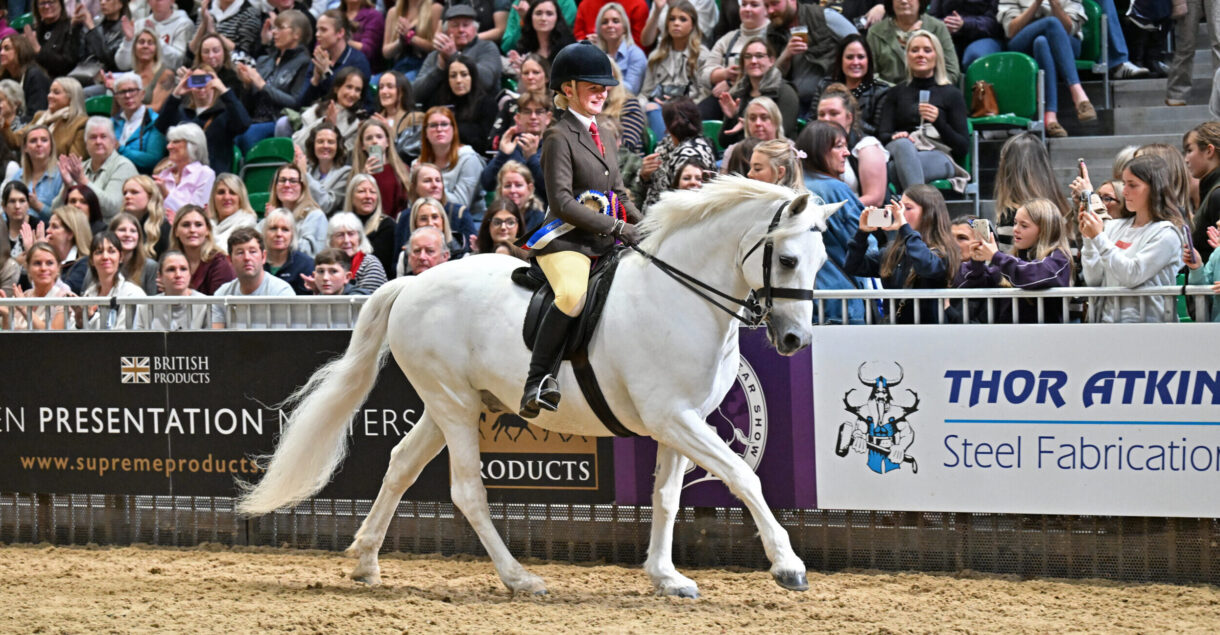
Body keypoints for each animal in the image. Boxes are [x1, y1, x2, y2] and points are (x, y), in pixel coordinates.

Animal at [236, 176, 836, 598]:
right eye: (787, 258)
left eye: (823, 261)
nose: (795, 339)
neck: (681, 294)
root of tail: (412, 283)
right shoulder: (673, 416)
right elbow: (742, 476)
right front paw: (788, 567)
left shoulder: (681, 420)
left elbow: (666, 498)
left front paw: (666, 577)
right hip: (454, 405)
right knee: (467, 491)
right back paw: (519, 578)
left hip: (452, 403)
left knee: (402, 463)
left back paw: (364, 561)